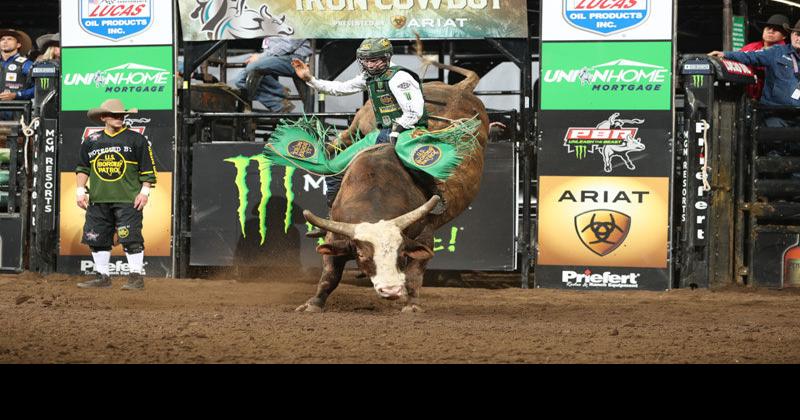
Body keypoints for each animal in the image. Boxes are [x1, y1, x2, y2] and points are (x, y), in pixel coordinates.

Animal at [297, 59, 489, 313]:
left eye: (400, 254)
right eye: (362, 255)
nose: (390, 290)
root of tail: (460, 89)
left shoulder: (423, 236)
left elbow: (414, 275)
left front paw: (412, 305)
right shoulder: (335, 236)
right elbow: (330, 274)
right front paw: (313, 304)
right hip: (361, 119)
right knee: (345, 138)